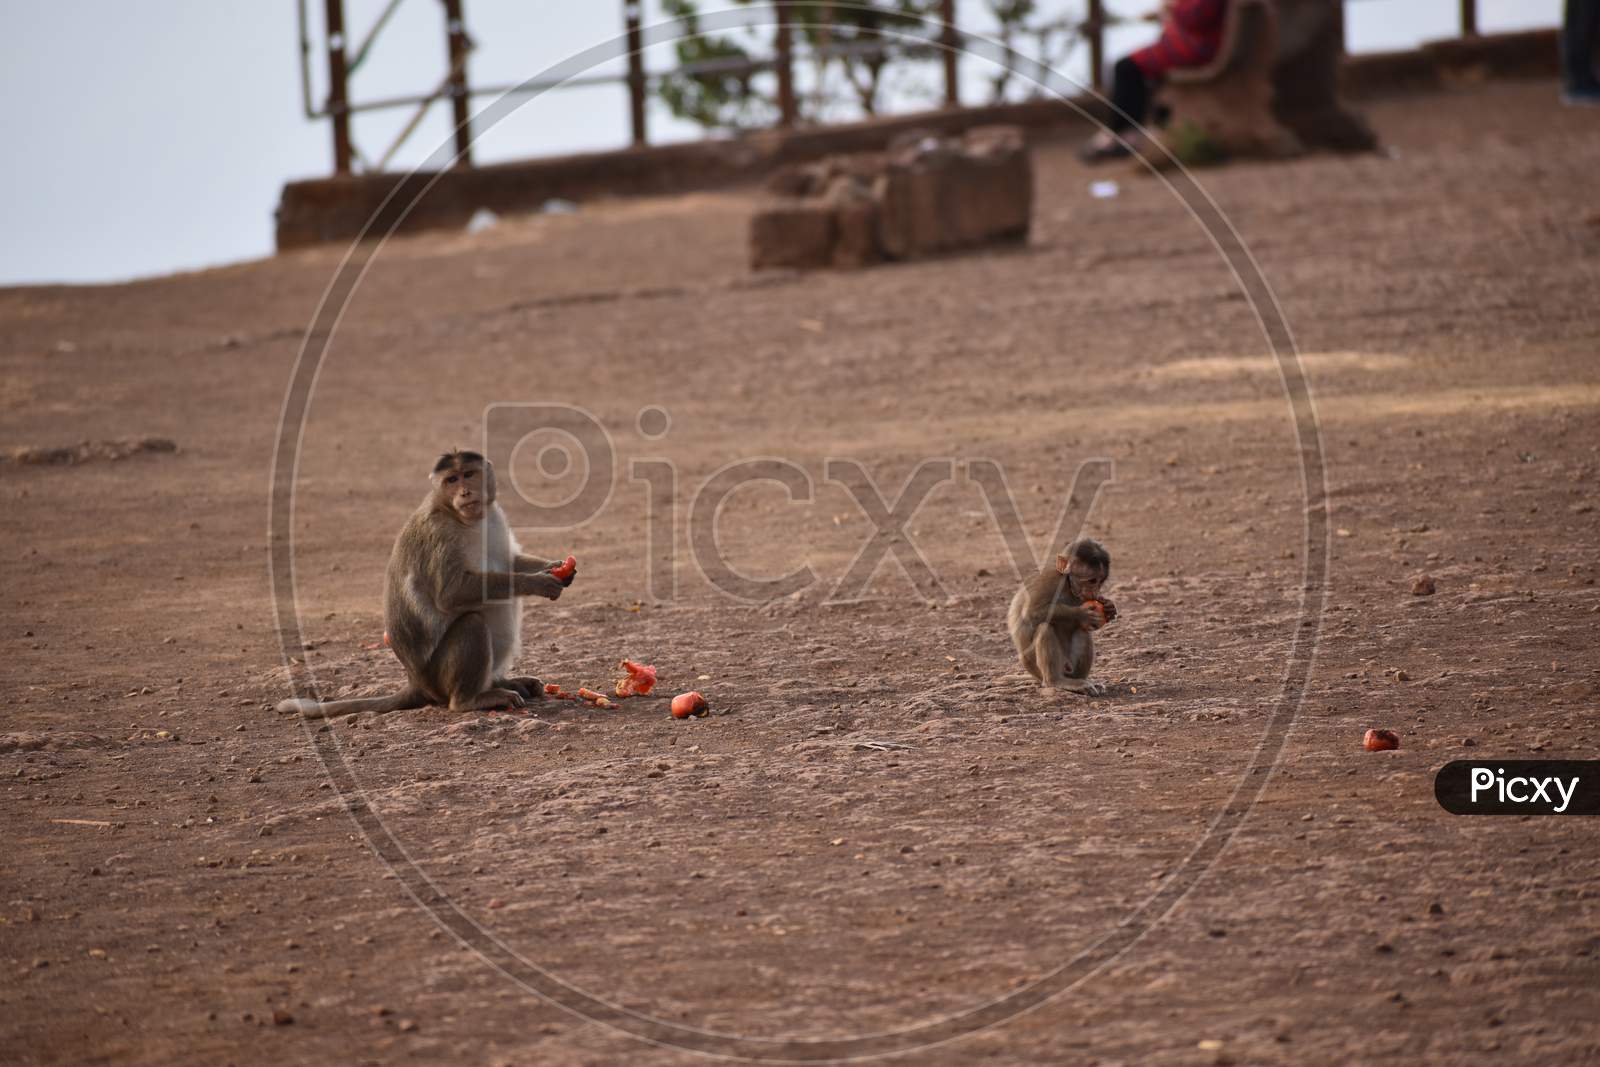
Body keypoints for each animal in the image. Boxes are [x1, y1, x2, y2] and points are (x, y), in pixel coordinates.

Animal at [277, 450, 574, 719]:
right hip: (438, 677)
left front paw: (557, 567)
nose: (465, 492)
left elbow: (509, 562)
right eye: (451, 480)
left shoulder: (495, 517)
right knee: (472, 623)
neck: (461, 516)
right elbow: (451, 593)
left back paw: (501, 682)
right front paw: (537, 582)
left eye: (469, 474)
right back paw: (471, 699)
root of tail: (416, 682)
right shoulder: (439, 534)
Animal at [1006, 538, 1118, 695]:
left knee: (1082, 631)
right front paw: (1082, 614)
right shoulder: (1050, 580)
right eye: (1091, 581)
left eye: (1100, 581)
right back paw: (1057, 681)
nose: (1095, 592)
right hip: (1037, 669)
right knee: (1045, 628)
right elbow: (1030, 612)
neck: (1068, 586)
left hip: (1070, 666)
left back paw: (1083, 680)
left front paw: (1109, 608)